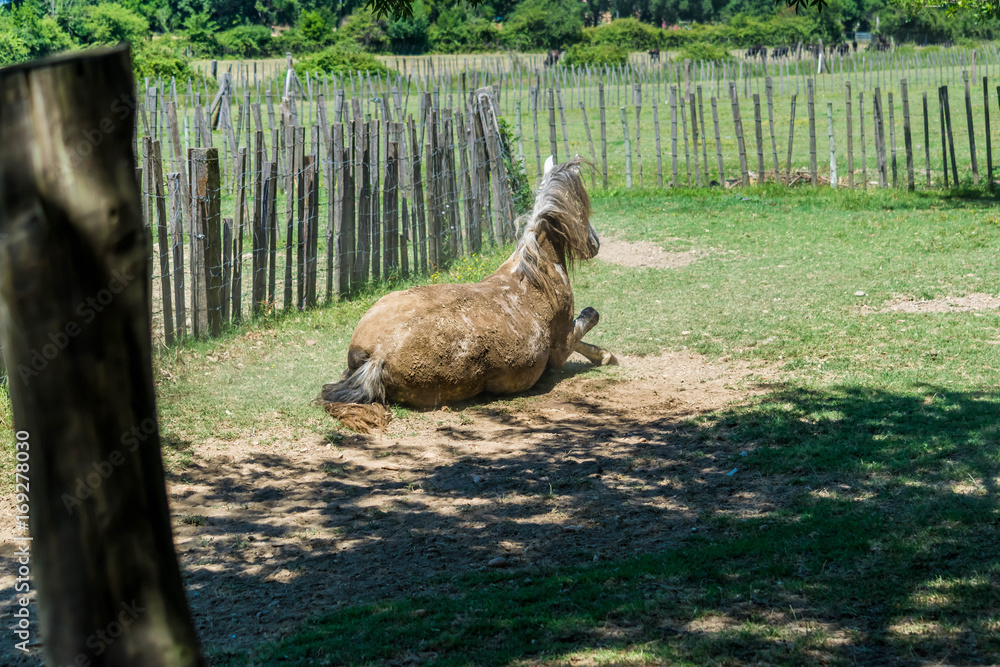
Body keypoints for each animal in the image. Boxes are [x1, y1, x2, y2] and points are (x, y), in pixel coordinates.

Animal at [318, 157, 617, 432]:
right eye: (581, 207)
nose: (595, 244)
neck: (535, 272)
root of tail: (378, 355)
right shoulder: (560, 348)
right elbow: (589, 318)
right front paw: (605, 356)